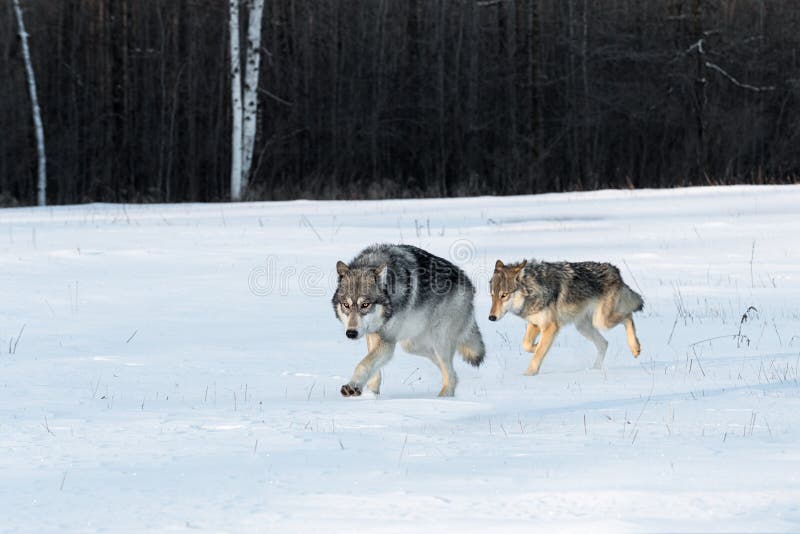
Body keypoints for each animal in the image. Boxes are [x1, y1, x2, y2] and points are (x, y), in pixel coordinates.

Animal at [332, 244, 485, 397]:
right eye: (346, 305)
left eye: (365, 305)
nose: (351, 333)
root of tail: (469, 283)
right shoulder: (373, 333)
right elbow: (374, 369)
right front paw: (372, 395)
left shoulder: (388, 342)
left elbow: (363, 364)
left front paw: (352, 386)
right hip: (412, 344)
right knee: (453, 373)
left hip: (438, 340)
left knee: (451, 374)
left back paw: (442, 399)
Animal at [489, 259, 643, 375]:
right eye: (492, 295)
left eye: (504, 295)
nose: (491, 317)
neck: (533, 289)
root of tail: (615, 270)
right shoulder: (536, 323)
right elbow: (526, 344)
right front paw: (536, 346)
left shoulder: (551, 326)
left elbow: (538, 354)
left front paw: (528, 374)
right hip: (583, 327)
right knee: (604, 343)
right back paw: (595, 369)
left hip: (602, 322)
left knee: (628, 316)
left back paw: (635, 347)